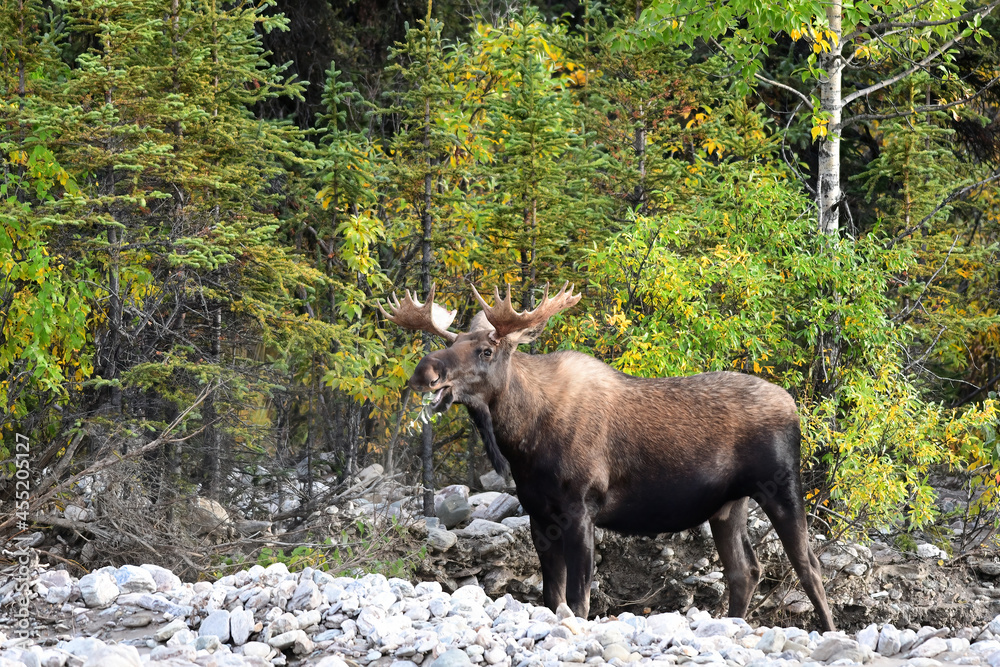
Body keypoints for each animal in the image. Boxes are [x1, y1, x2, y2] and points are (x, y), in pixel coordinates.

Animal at [380, 282, 835, 631]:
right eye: (453, 342)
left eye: (486, 351)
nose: (425, 371)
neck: (522, 440)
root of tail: (794, 407)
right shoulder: (538, 513)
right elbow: (552, 597)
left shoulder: (581, 508)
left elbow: (579, 600)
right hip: (727, 505)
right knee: (745, 571)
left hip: (782, 486)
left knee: (809, 566)